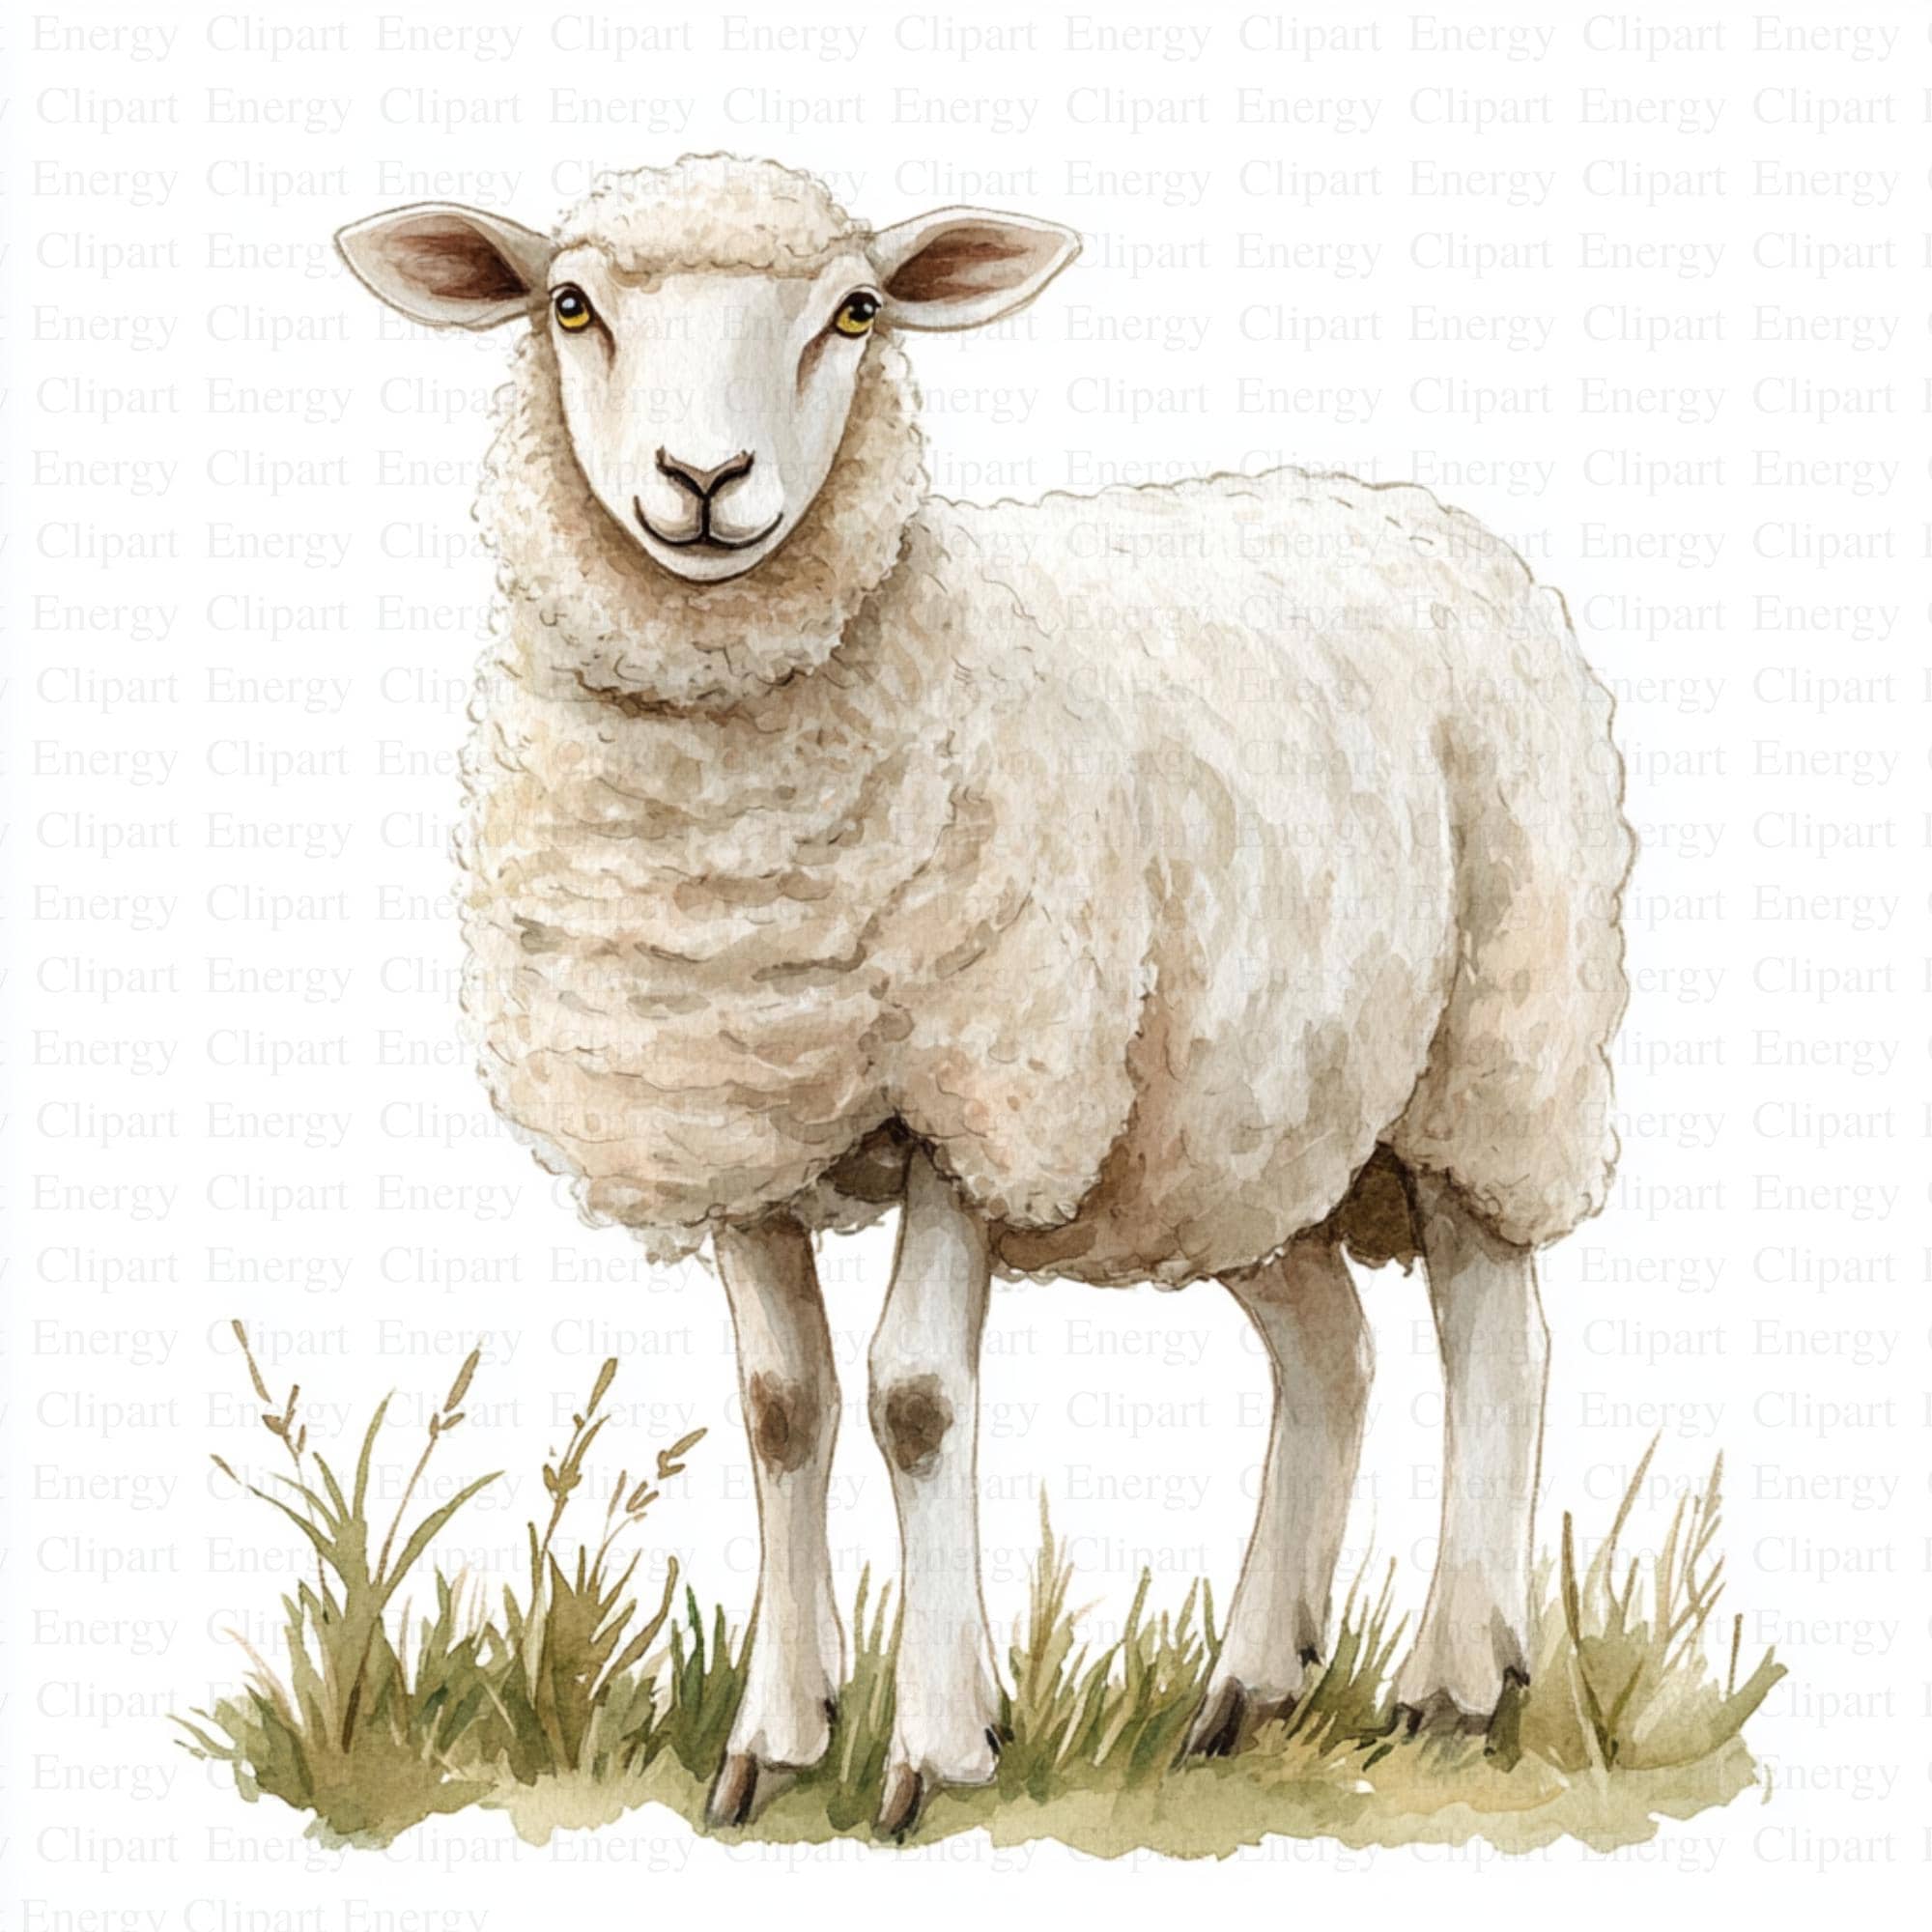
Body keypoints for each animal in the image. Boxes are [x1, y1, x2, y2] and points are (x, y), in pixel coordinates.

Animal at [336, 152, 1633, 1838]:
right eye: (569, 304)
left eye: (856, 312)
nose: (705, 478)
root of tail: (1409, 511)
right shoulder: (735, 1113)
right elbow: (783, 1405)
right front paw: (776, 1739)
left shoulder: (978, 1091)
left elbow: (913, 1402)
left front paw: (932, 1748)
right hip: (1238, 1126)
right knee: (1329, 1353)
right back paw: (1252, 1685)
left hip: (1495, 1056)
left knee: (1496, 1339)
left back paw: (1459, 1680)